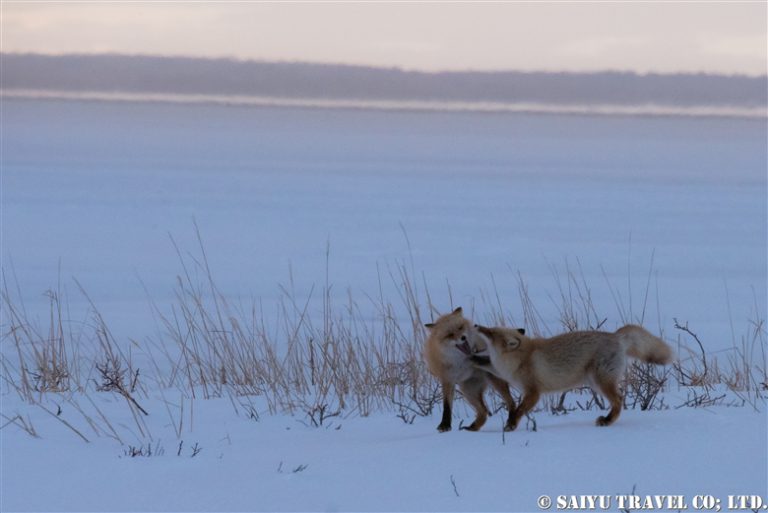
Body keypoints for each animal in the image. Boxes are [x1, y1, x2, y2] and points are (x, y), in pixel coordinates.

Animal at [471, 324, 673, 429]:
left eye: (491, 332)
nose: (476, 326)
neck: (520, 359)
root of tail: (615, 336)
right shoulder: (501, 371)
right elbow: (486, 364)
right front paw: (471, 358)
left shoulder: (534, 392)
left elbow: (520, 410)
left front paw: (511, 425)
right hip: (595, 383)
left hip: (601, 382)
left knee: (619, 400)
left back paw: (607, 420)